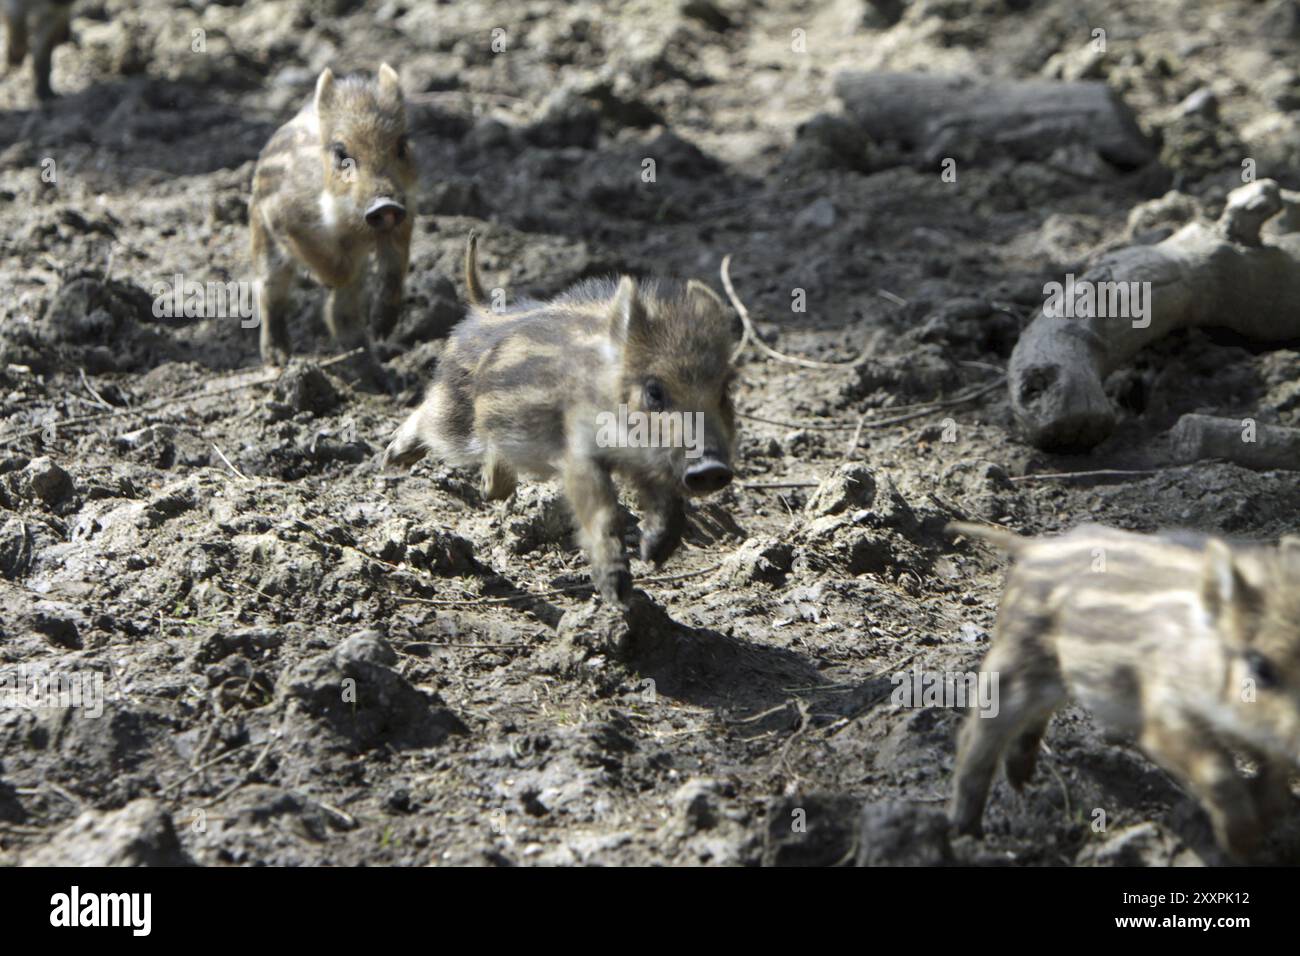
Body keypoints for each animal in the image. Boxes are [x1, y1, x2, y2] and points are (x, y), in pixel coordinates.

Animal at [249, 63, 415, 372]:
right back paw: (277, 358)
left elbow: (394, 267)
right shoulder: (286, 218)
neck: (351, 223)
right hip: (263, 241)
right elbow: (335, 269)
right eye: (341, 153)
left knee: (341, 315)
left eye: (401, 145)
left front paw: (382, 329)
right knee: (269, 292)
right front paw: (323, 279)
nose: (385, 205)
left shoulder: (405, 213)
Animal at [384, 235, 738, 606]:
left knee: (496, 483)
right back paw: (392, 457)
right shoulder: (578, 452)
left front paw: (654, 554)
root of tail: (480, 310)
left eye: (725, 390)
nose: (711, 469)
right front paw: (618, 592)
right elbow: (602, 512)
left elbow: (669, 503)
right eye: (654, 392)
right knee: (428, 417)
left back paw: (484, 485)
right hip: (454, 420)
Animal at [947, 522, 1300, 860]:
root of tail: (1034, 549)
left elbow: (1275, 774)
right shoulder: (1164, 712)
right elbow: (1217, 770)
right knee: (976, 738)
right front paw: (1242, 844)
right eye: (1260, 667)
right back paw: (967, 832)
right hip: (1014, 662)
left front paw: (1268, 819)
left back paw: (1022, 781)